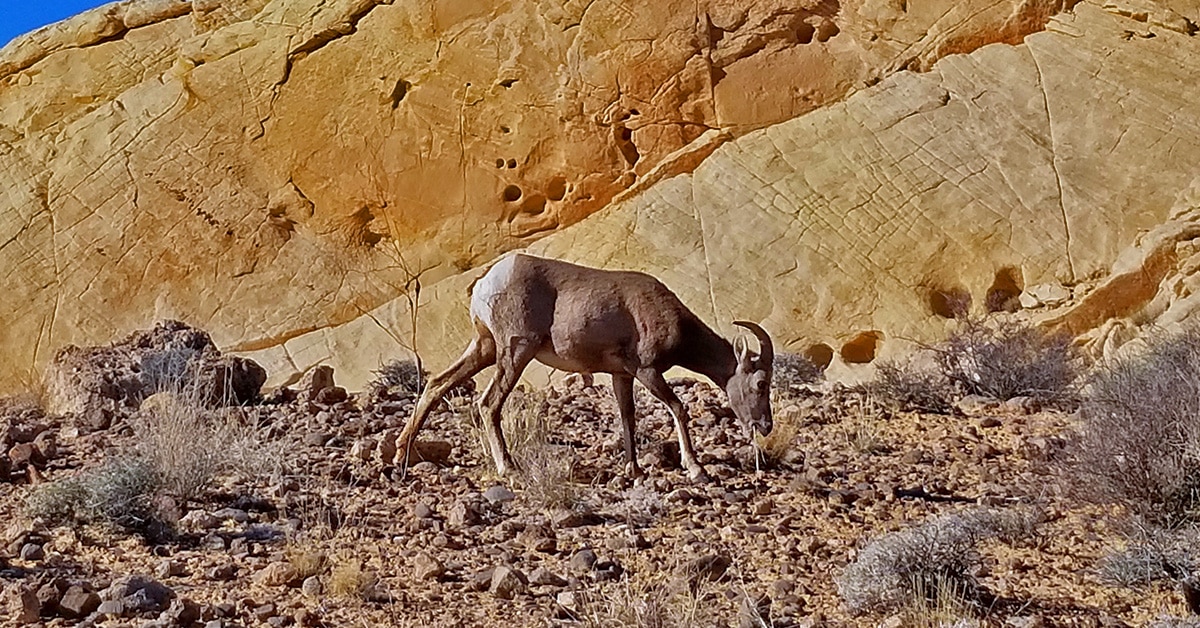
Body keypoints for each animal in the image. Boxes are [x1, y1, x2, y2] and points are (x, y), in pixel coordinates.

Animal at [395, 253, 774, 481]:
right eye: (760, 383)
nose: (765, 426)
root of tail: (487, 282)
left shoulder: (622, 375)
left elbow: (627, 417)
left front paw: (634, 470)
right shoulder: (647, 371)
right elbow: (679, 408)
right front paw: (696, 469)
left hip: (485, 348)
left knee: (438, 384)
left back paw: (401, 455)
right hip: (516, 351)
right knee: (488, 403)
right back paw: (508, 468)